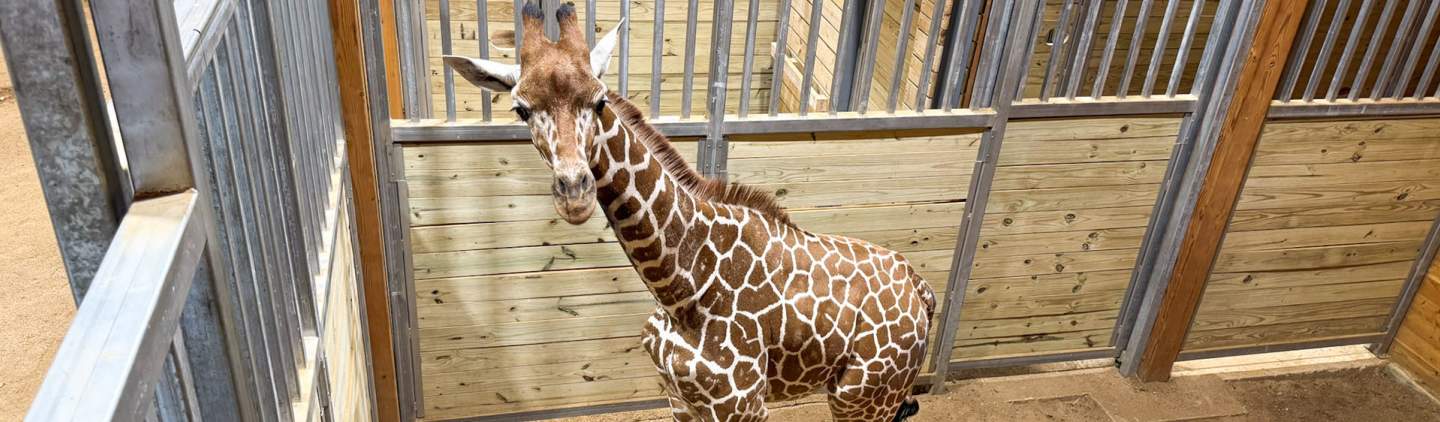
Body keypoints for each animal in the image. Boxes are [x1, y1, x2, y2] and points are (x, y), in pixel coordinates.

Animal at [444, 3, 936, 420]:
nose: (575, 193)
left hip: (861, 398)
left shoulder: (743, 405)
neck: (679, 288)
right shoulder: (680, 397)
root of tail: (922, 290)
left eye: (599, 100)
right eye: (521, 109)